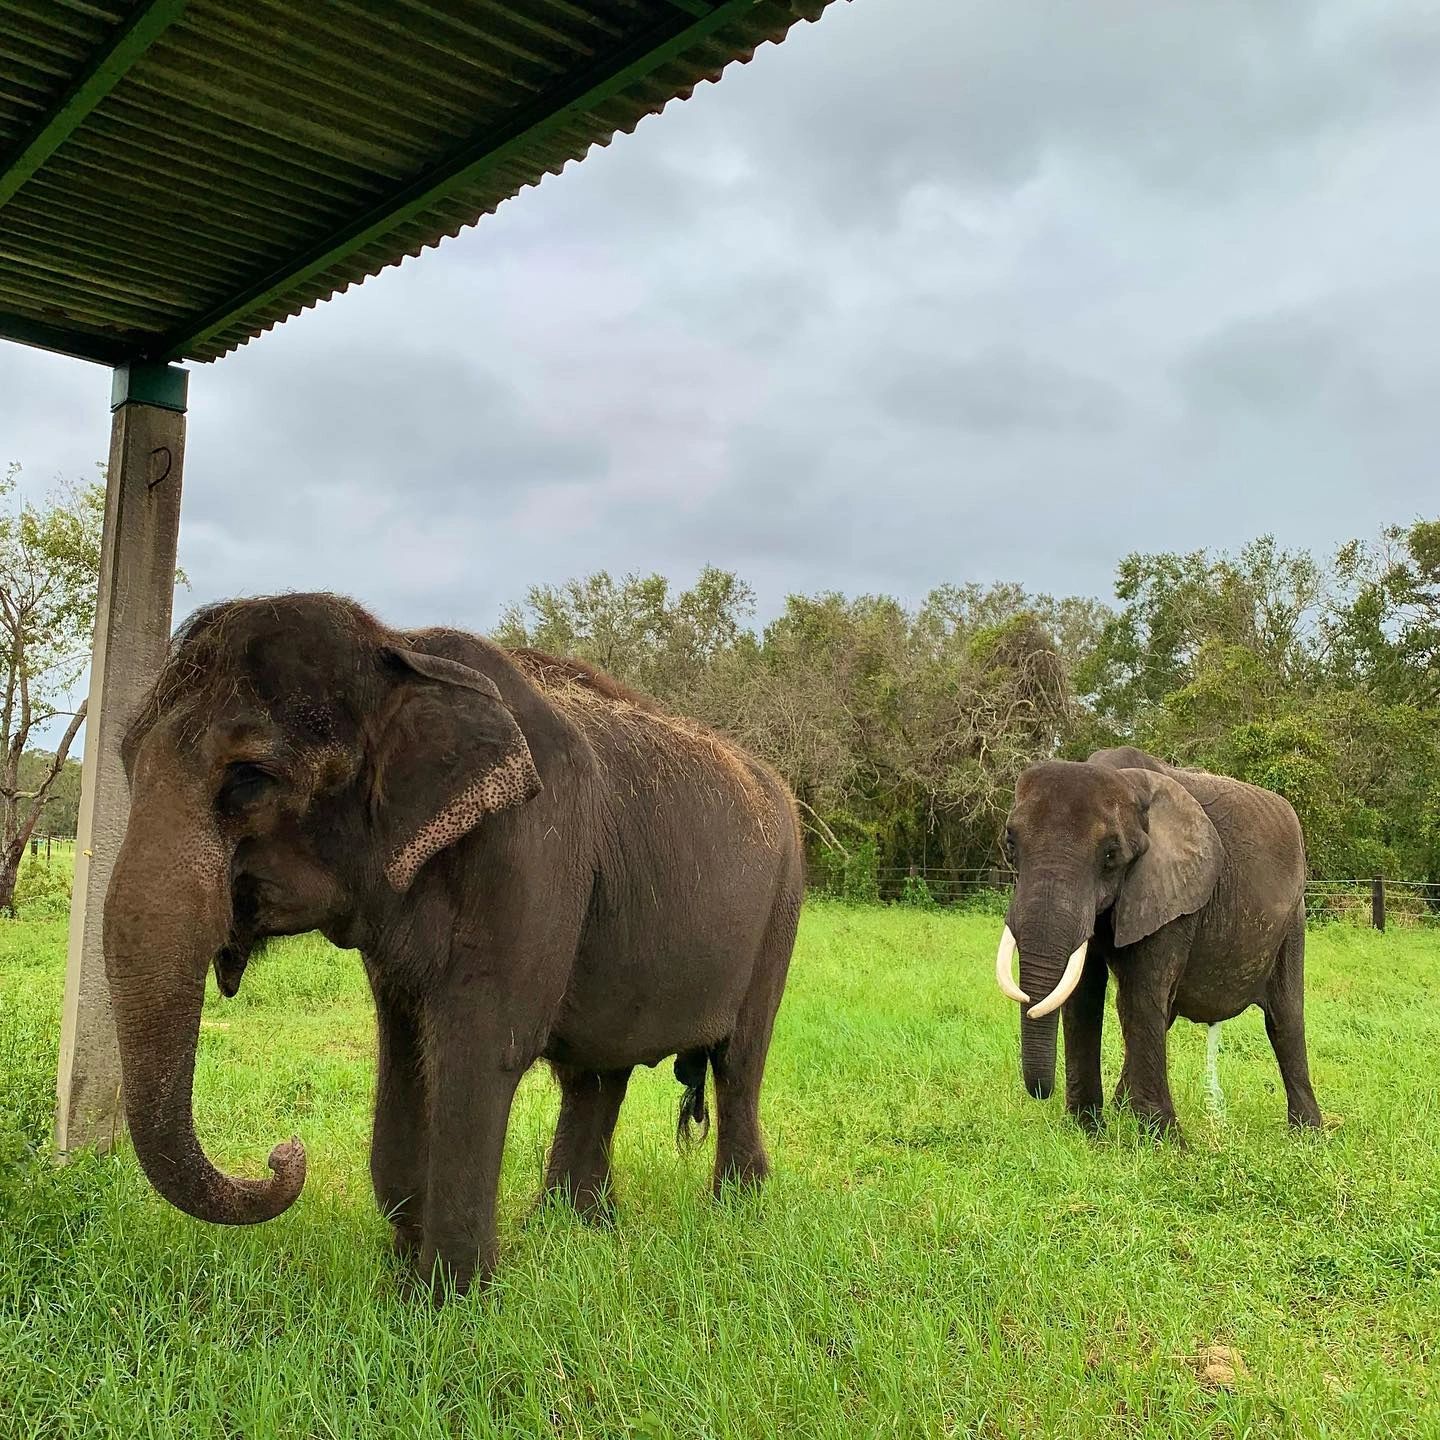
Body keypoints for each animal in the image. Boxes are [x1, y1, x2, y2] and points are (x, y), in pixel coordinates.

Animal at [104, 593, 804, 1300]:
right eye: (126, 764)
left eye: (249, 779)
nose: (284, 1155)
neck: (399, 648)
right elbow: (406, 1046)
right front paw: (400, 1273)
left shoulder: (531, 851)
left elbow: (481, 1046)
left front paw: (449, 1300)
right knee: (597, 1072)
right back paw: (579, 1227)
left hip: (783, 906)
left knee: (738, 1062)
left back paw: (734, 1210)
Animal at [993, 745, 1322, 1138]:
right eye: (1011, 845)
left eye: (1110, 856)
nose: (1043, 1092)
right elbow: (1082, 993)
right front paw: (1088, 1133)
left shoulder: (1173, 892)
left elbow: (1141, 993)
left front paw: (1164, 1141)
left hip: (1294, 916)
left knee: (1285, 1015)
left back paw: (1308, 1134)